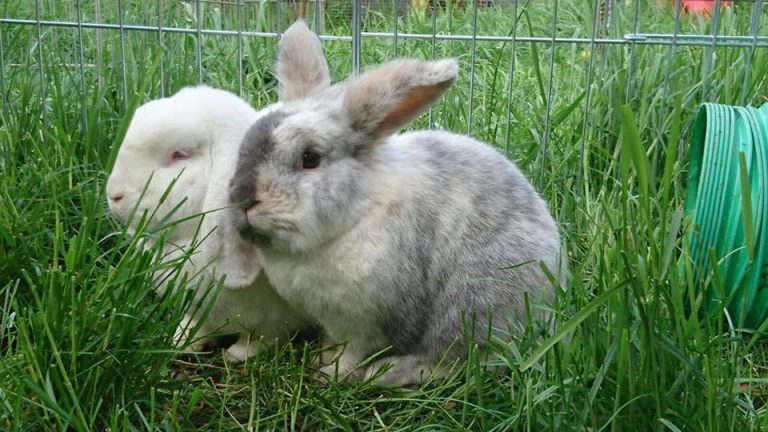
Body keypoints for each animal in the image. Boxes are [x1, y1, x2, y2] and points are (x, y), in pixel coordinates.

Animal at [106, 85, 310, 363]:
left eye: (179, 154)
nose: (113, 194)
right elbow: (197, 324)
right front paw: (183, 341)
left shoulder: (274, 316)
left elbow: (264, 335)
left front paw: (238, 354)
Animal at [226, 20, 566, 386]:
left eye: (310, 158)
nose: (242, 199)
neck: (356, 215)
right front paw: (323, 357)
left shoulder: (367, 325)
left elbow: (354, 353)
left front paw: (330, 373)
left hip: (472, 310)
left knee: (459, 362)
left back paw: (391, 372)